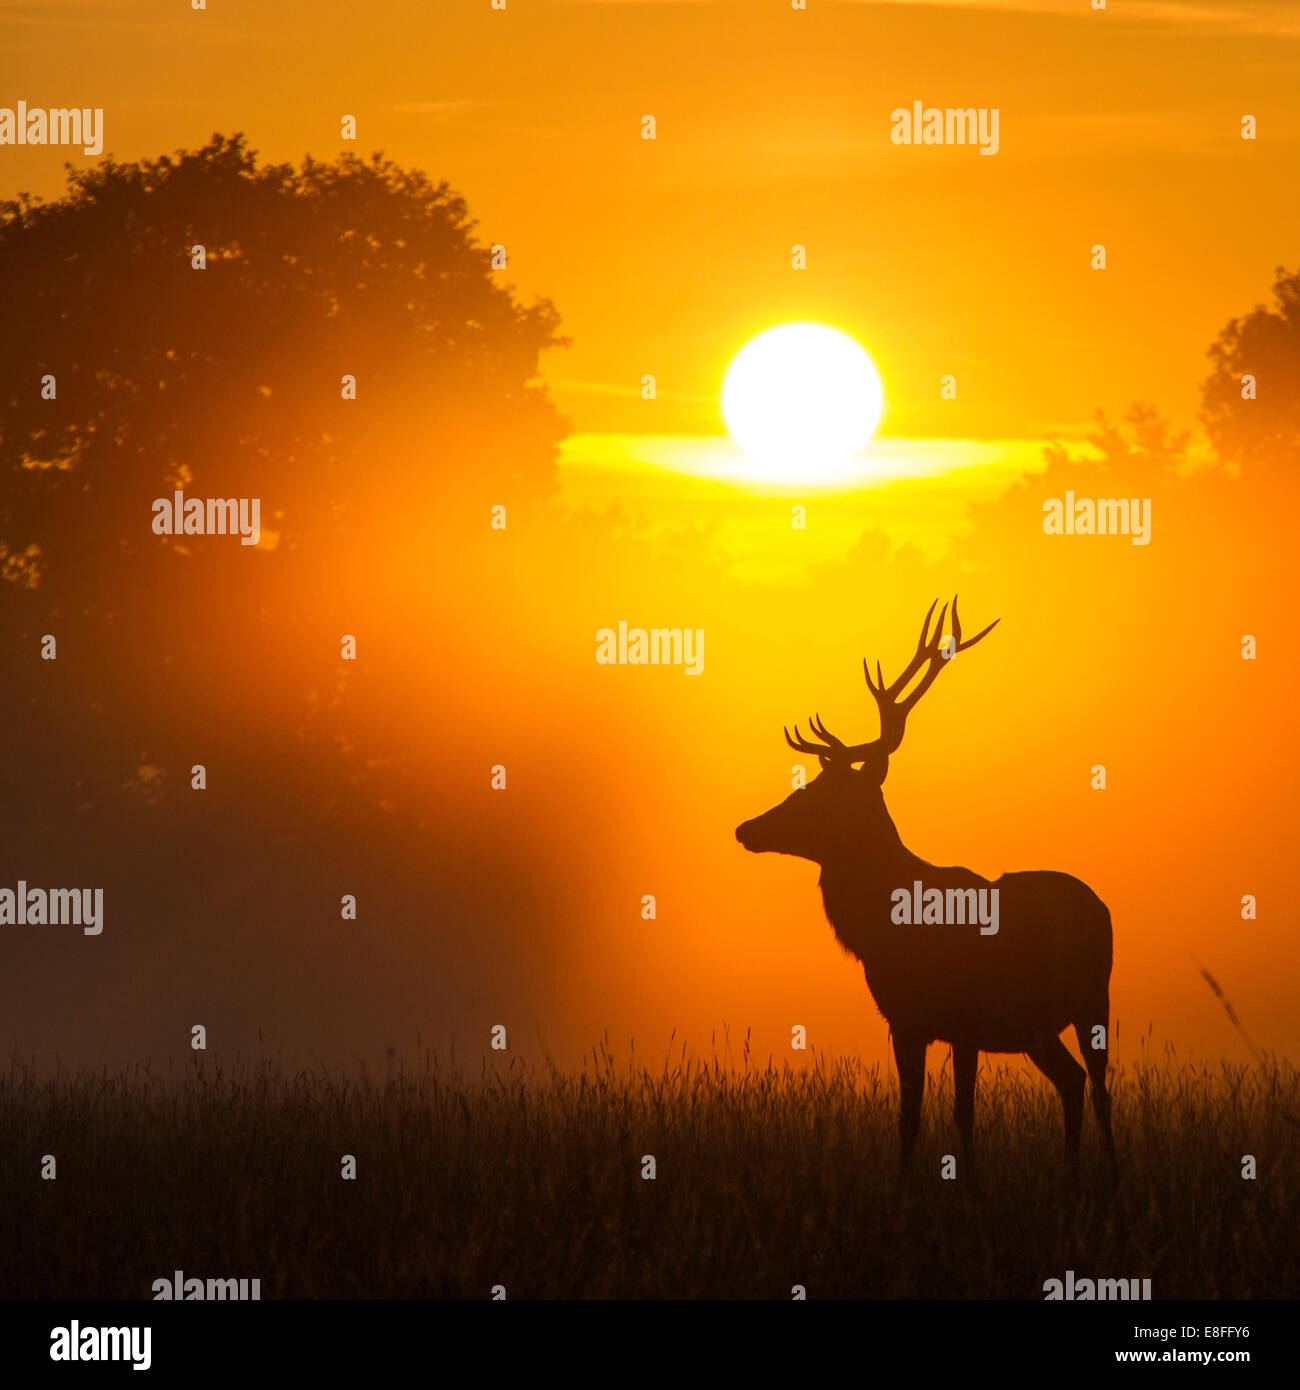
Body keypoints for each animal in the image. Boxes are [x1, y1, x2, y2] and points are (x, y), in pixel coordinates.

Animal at [735, 598, 1116, 1177]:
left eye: (818, 793)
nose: (746, 829)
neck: (887, 930)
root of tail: (1102, 907)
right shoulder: (907, 1020)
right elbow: (912, 1116)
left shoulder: (958, 1018)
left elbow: (957, 1111)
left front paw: (962, 1186)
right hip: (1040, 1024)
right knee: (1074, 1082)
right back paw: (1075, 1176)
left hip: (1094, 999)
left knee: (1097, 1088)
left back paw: (1110, 1176)